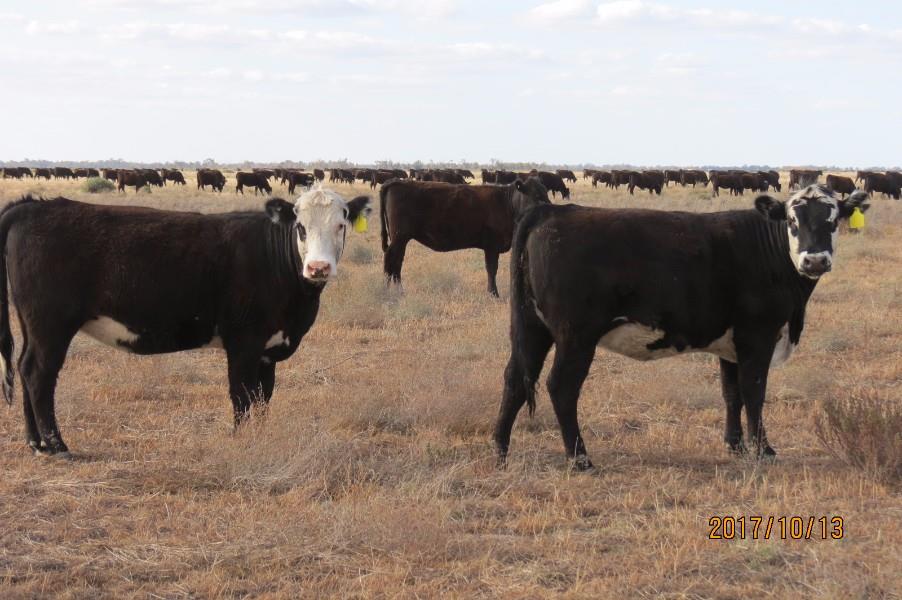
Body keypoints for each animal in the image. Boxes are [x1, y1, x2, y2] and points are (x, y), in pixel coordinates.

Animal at [0, 190, 371, 456]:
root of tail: (31, 207)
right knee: (39, 374)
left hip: (33, 325)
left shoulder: (268, 348)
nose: (319, 268)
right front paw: (242, 441)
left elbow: (263, 398)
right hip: (51, 325)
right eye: (300, 227)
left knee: (24, 367)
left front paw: (260, 438)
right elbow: (242, 395)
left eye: (341, 225)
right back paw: (57, 445)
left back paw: (36, 444)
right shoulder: (244, 342)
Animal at [379, 179, 551, 297]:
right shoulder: (492, 245)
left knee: (397, 262)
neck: (507, 204)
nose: (548, 209)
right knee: (391, 259)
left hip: (401, 239)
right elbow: (491, 269)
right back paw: (388, 291)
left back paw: (398, 291)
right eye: (536, 195)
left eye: (545, 193)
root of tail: (396, 182)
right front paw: (493, 294)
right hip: (399, 237)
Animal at [495, 185, 870, 470]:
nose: (815, 260)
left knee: (514, 379)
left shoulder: (730, 343)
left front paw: (735, 446)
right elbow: (754, 392)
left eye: (832, 220)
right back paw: (580, 458)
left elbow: (731, 393)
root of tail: (551, 212)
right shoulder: (757, 336)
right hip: (576, 335)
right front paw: (764, 450)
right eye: (793, 220)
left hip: (532, 328)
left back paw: (500, 449)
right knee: (561, 387)